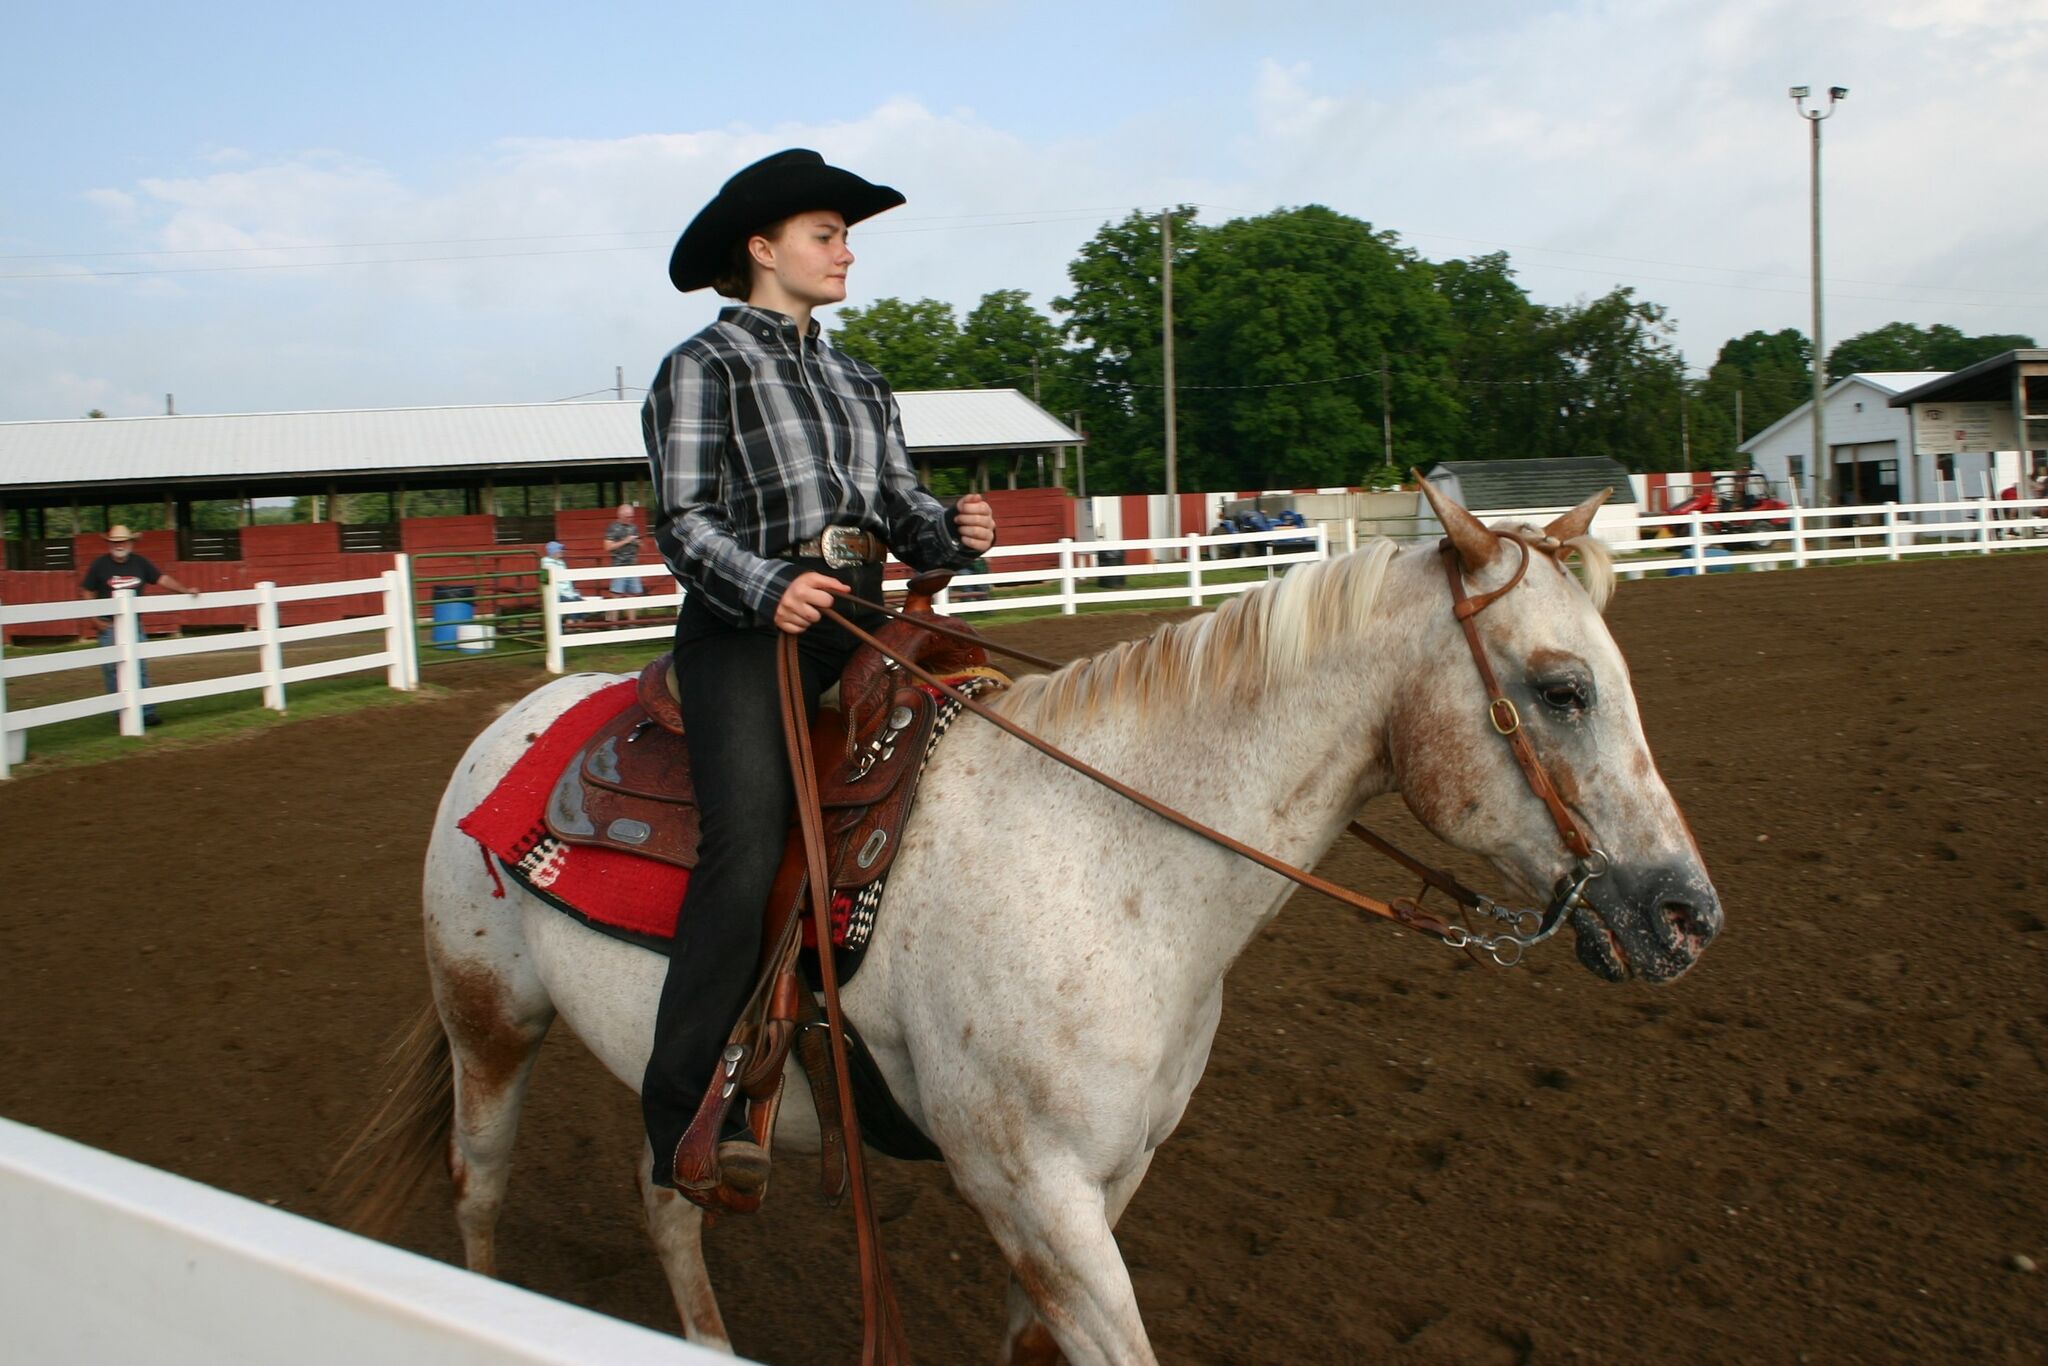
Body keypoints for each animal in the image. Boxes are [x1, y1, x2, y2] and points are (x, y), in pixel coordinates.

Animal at [341, 487, 1721, 1363]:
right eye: (1559, 687)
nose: (1684, 914)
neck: (1108, 857)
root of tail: (504, 729)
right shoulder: (1031, 1188)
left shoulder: (1105, 1179)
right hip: (489, 1028)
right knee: (478, 1189)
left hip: (659, 1075)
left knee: (666, 1205)